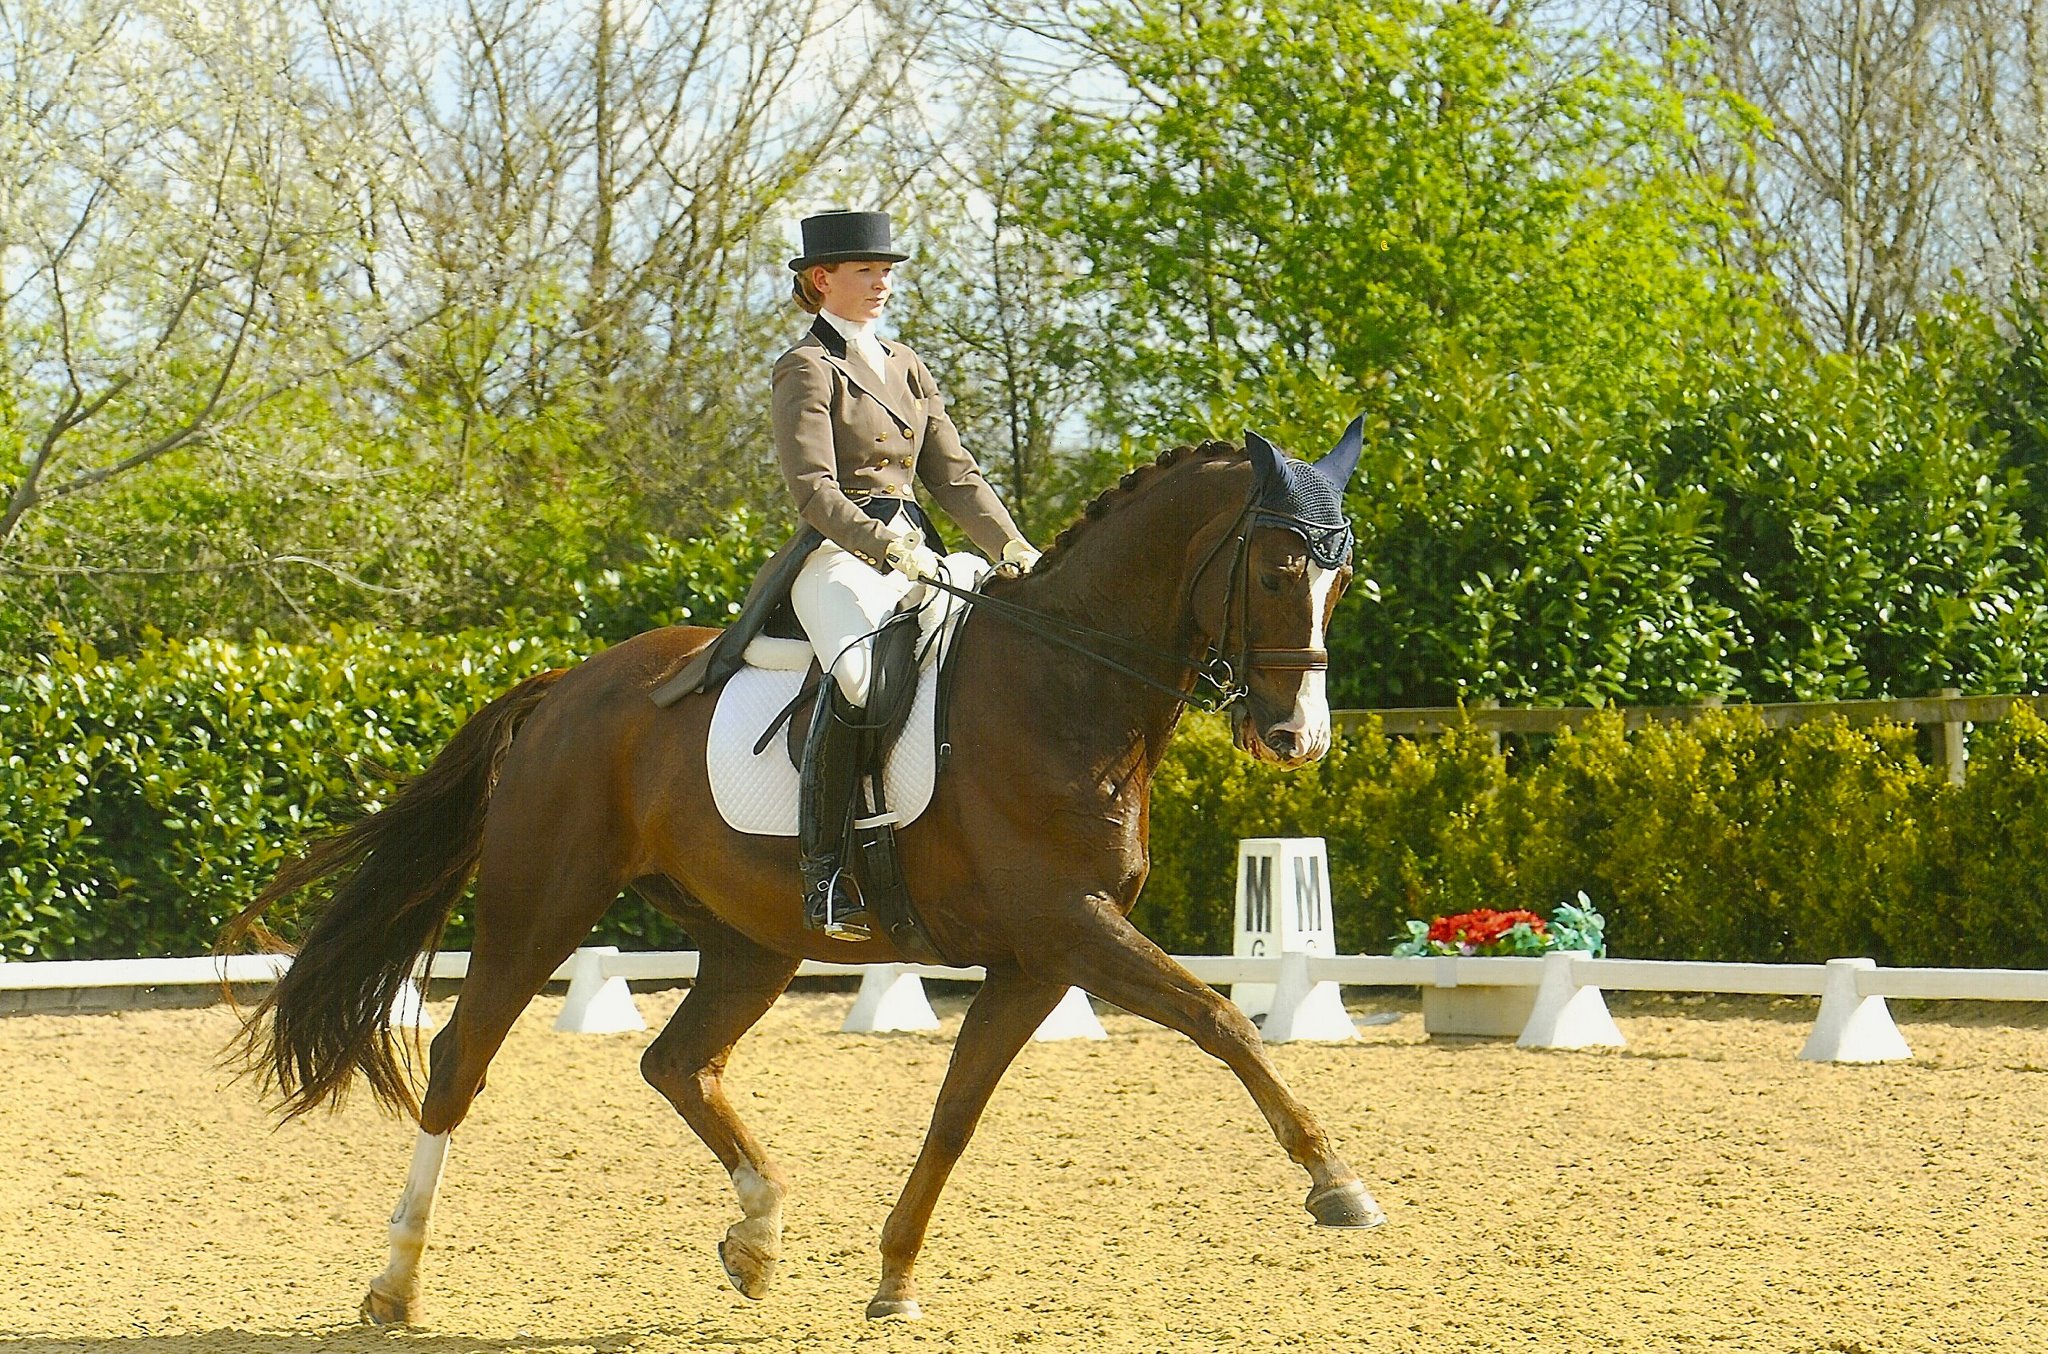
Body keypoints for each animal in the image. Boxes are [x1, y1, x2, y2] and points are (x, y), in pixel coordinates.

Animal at [222, 432, 1387, 1326]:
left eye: (1340, 581)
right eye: (1276, 573)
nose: (1294, 738)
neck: (1065, 684)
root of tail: (569, 684)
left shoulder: (1039, 960)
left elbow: (955, 1113)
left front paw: (895, 1279)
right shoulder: (1072, 927)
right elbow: (1222, 1022)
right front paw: (1338, 1184)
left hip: (754, 936)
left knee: (677, 1062)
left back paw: (756, 1235)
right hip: (540, 904)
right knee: (461, 1061)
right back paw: (395, 1284)